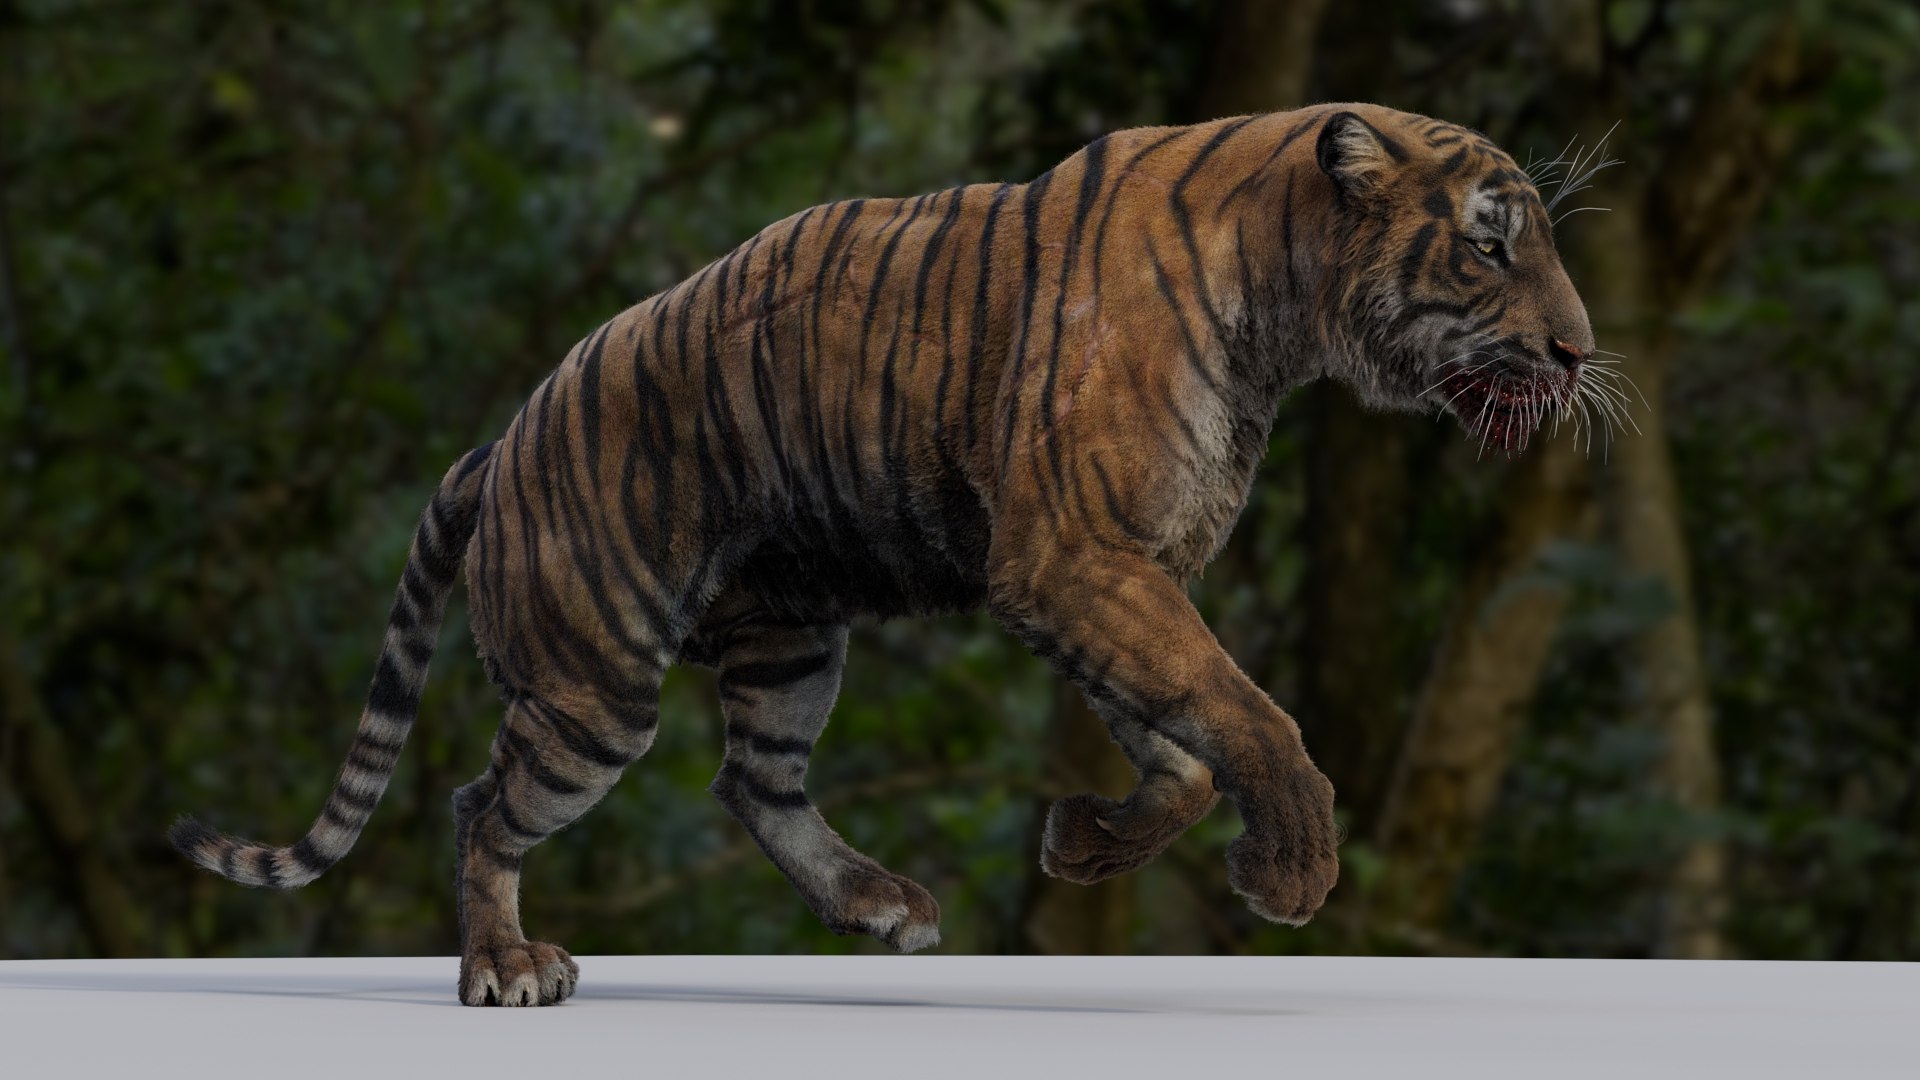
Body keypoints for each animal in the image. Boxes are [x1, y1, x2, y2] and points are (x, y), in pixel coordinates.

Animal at [172, 103, 1598, 1006]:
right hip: (597, 685)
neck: (1286, 313)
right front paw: (1292, 869)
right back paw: (506, 971)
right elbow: (1242, 711)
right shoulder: (1078, 552)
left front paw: (1086, 843)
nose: (1581, 351)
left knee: (753, 782)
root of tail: (501, 437)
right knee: (485, 804)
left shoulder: (1119, 566)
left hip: (792, 639)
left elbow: (1187, 738)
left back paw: (875, 903)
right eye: (1490, 241)